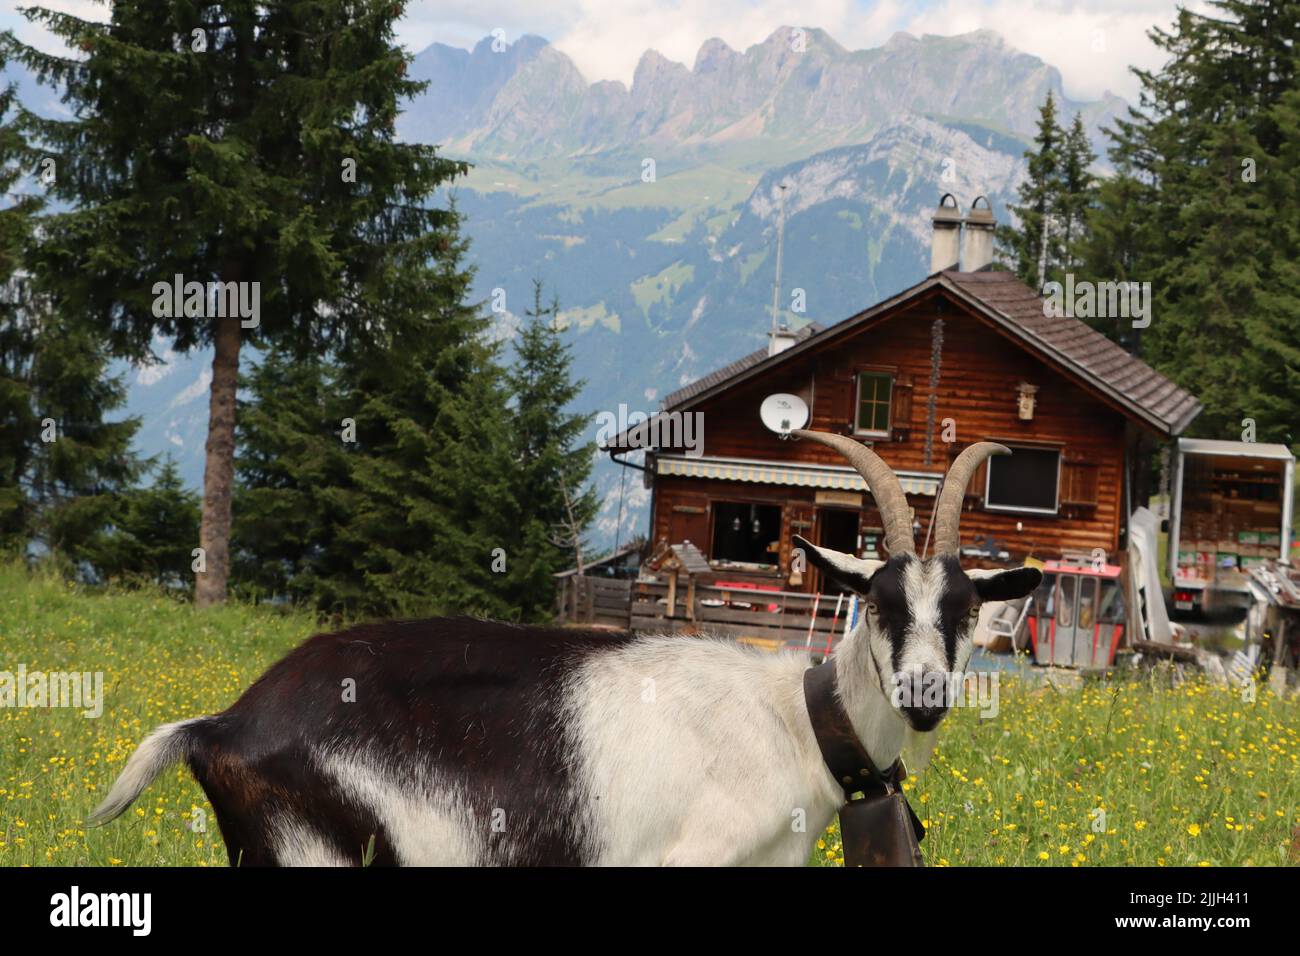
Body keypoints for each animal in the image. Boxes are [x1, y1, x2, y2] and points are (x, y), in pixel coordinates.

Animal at [88, 432, 1041, 866]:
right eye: (878, 603)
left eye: (964, 609)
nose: (924, 695)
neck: (794, 724)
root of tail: (221, 723)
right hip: (315, 853)